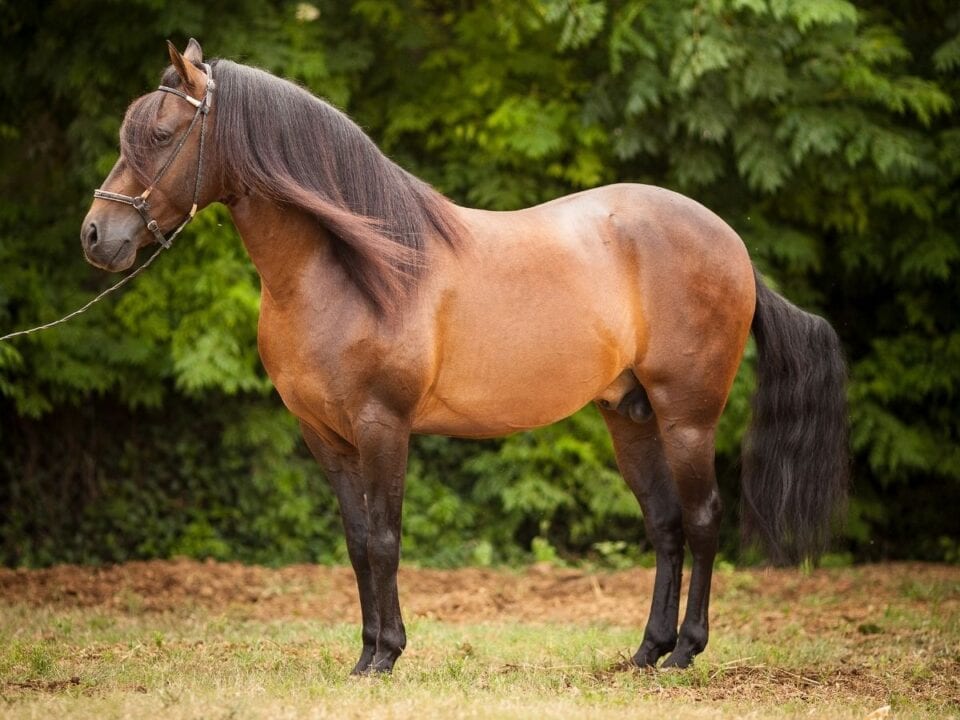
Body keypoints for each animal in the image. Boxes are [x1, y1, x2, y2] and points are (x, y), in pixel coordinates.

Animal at [81, 40, 848, 675]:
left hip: (687, 417)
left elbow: (385, 538)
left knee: (703, 517)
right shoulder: (324, 435)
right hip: (629, 416)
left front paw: (385, 658)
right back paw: (645, 652)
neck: (351, 266)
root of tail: (731, 245)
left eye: (160, 134)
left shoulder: (383, 426)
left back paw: (685, 652)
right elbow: (357, 542)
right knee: (664, 524)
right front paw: (365, 654)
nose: (97, 235)